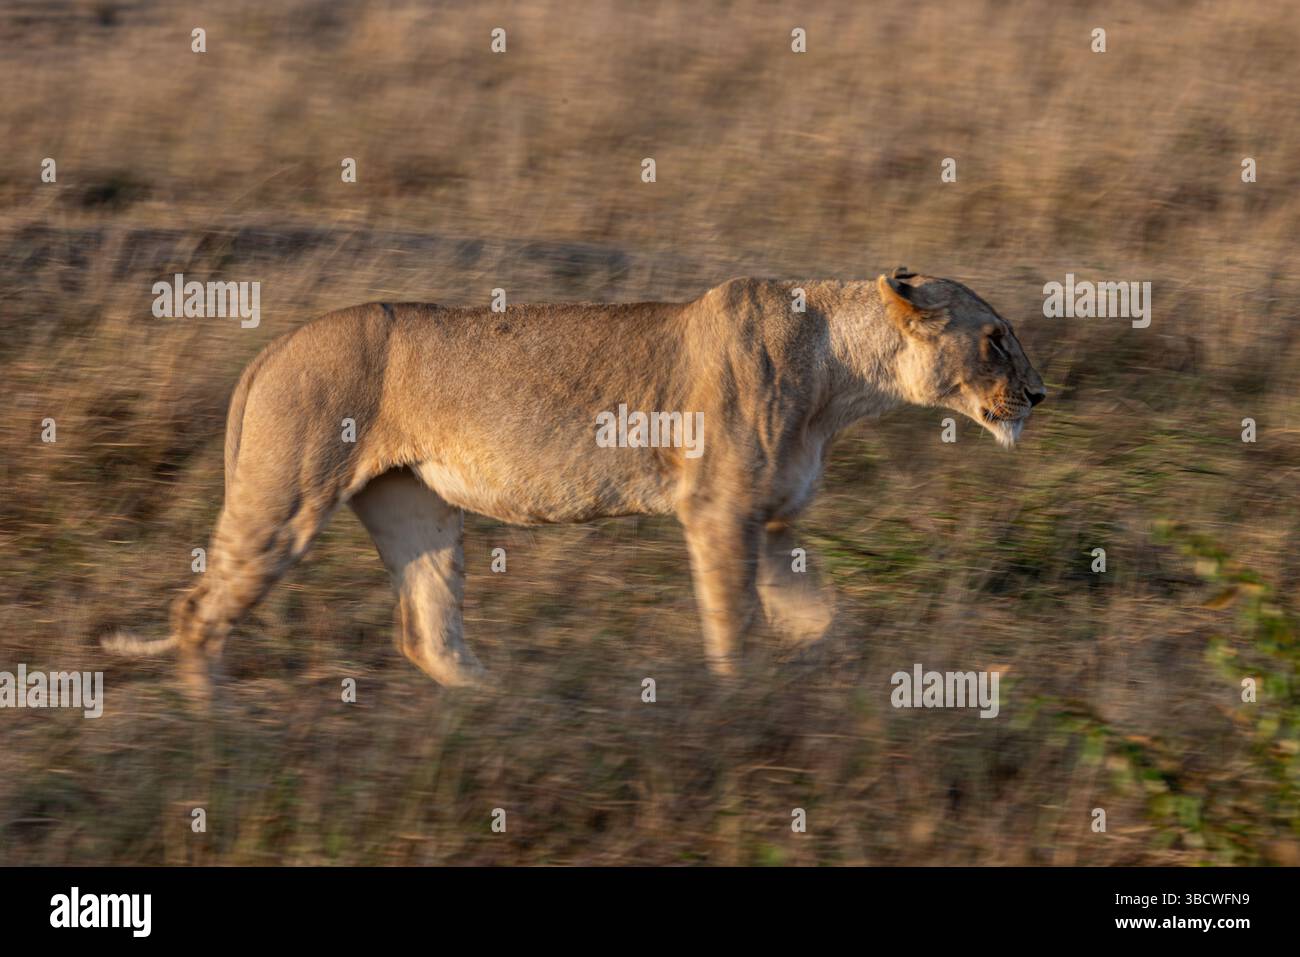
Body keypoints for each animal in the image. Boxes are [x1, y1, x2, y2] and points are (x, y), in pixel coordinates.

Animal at [105, 268, 1046, 700]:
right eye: (995, 336)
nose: (1040, 394)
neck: (839, 377)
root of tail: (270, 350)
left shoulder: (774, 524)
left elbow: (824, 618)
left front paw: (846, 677)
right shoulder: (720, 511)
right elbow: (733, 621)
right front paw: (737, 705)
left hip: (416, 510)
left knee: (427, 630)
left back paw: (502, 709)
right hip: (286, 495)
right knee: (198, 609)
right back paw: (215, 724)